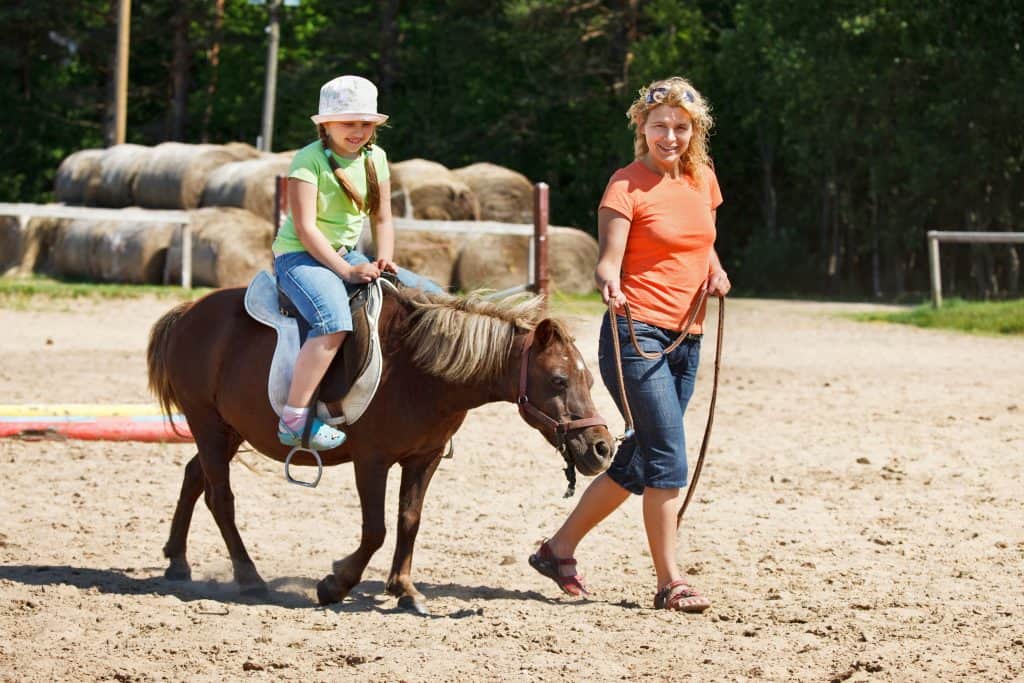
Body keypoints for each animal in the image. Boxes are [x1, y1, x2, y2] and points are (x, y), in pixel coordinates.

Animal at [146, 284, 614, 613]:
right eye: (558, 380)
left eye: (590, 379)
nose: (602, 448)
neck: (416, 371)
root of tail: (188, 312)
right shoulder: (371, 462)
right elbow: (376, 529)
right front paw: (335, 584)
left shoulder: (423, 460)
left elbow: (409, 521)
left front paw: (404, 589)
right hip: (207, 422)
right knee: (220, 498)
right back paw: (248, 576)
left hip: (230, 429)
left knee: (194, 477)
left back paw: (177, 561)